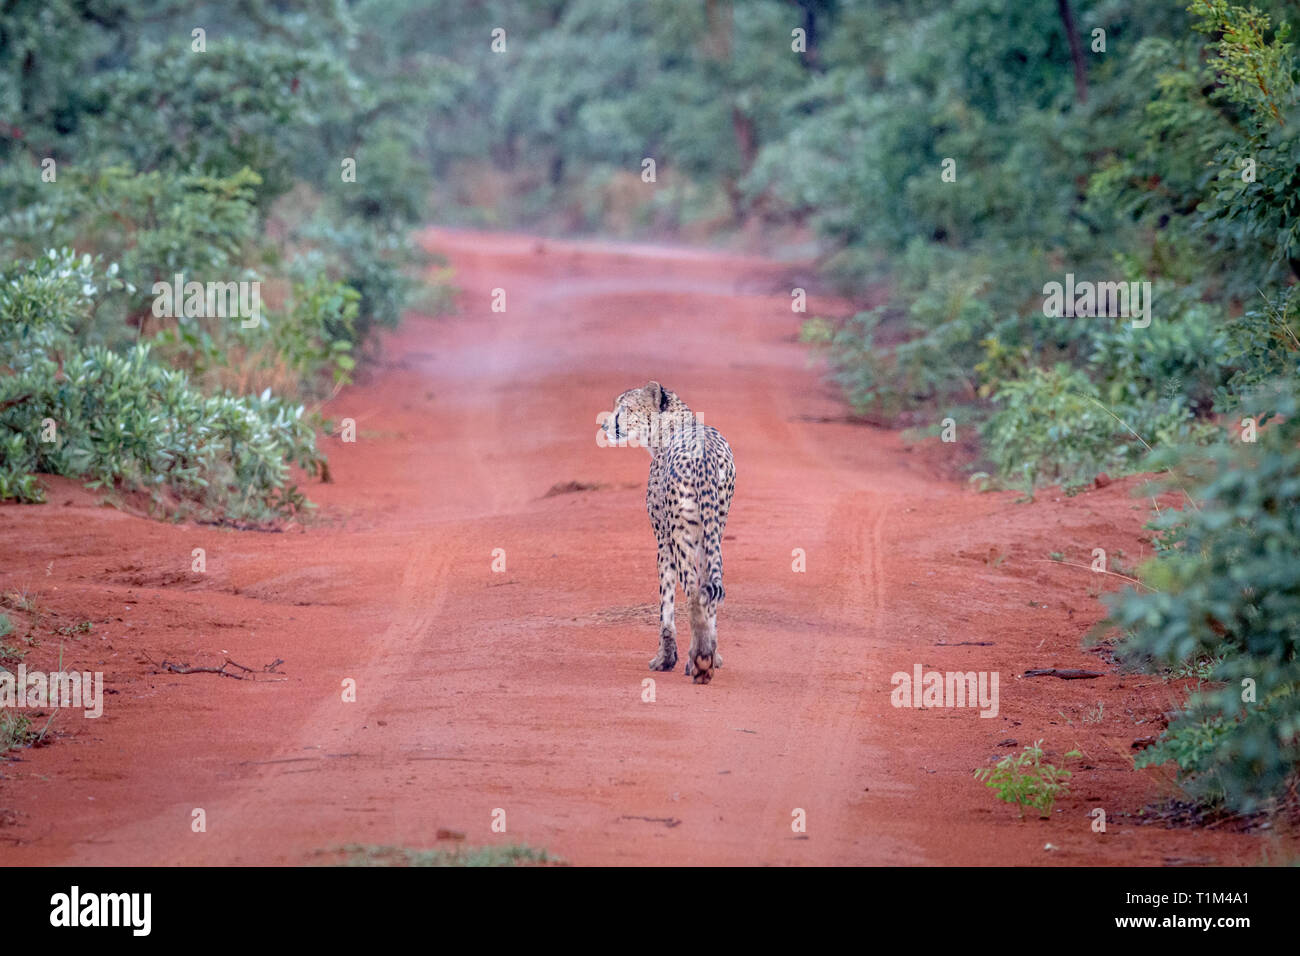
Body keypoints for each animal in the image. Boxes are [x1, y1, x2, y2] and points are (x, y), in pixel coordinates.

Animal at [604, 381, 735, 684]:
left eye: (624, 408)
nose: (605, 424)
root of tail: (705, 457)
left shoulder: (664, 540)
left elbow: (666, 604)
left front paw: (665, 658)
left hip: (680, 535)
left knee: (695, 595)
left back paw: (700, 662)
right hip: (714, 530)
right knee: (709, 591)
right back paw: (708, 655)